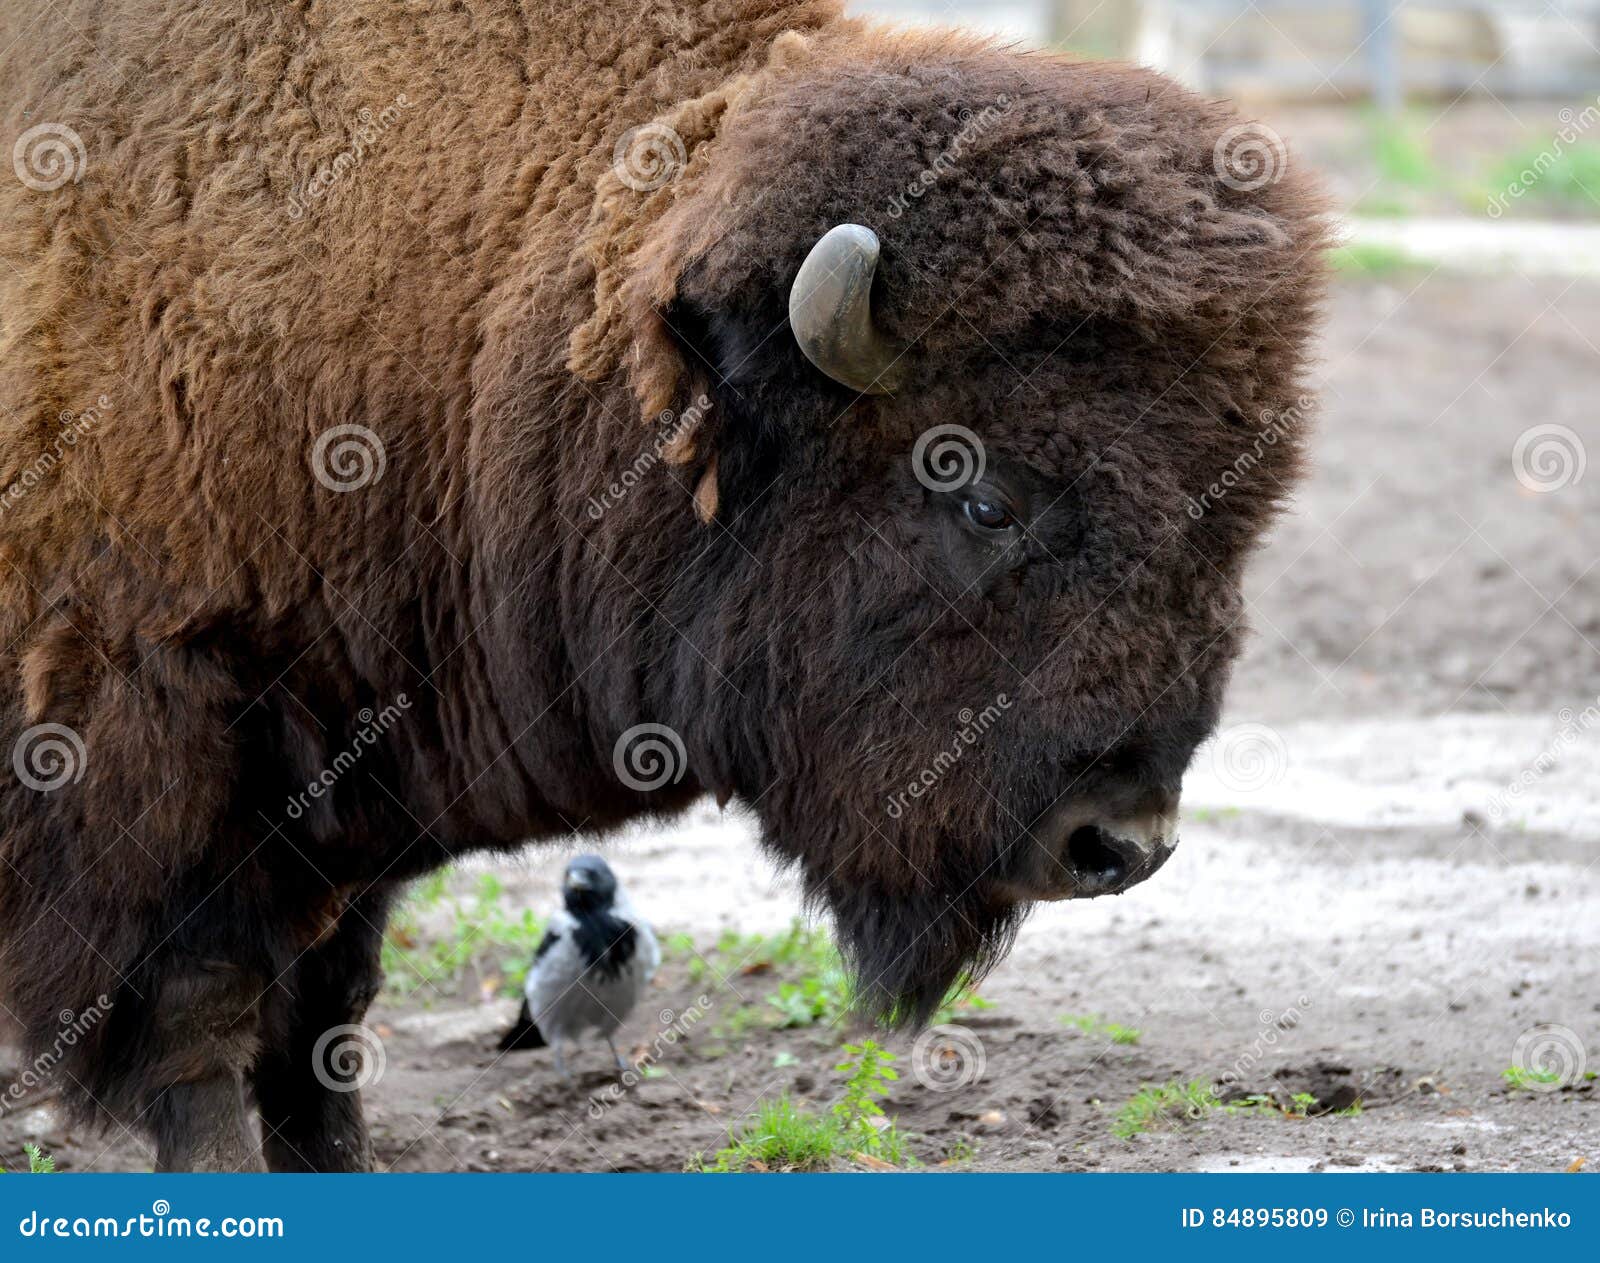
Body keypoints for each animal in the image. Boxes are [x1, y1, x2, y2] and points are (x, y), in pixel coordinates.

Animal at [0, 0, 1326, 1169]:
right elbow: (206, 1034)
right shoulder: (160, 772)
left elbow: (322, 1033)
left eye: (1230, 520)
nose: (1120, 843)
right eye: (981, 497)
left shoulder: (340, 804)